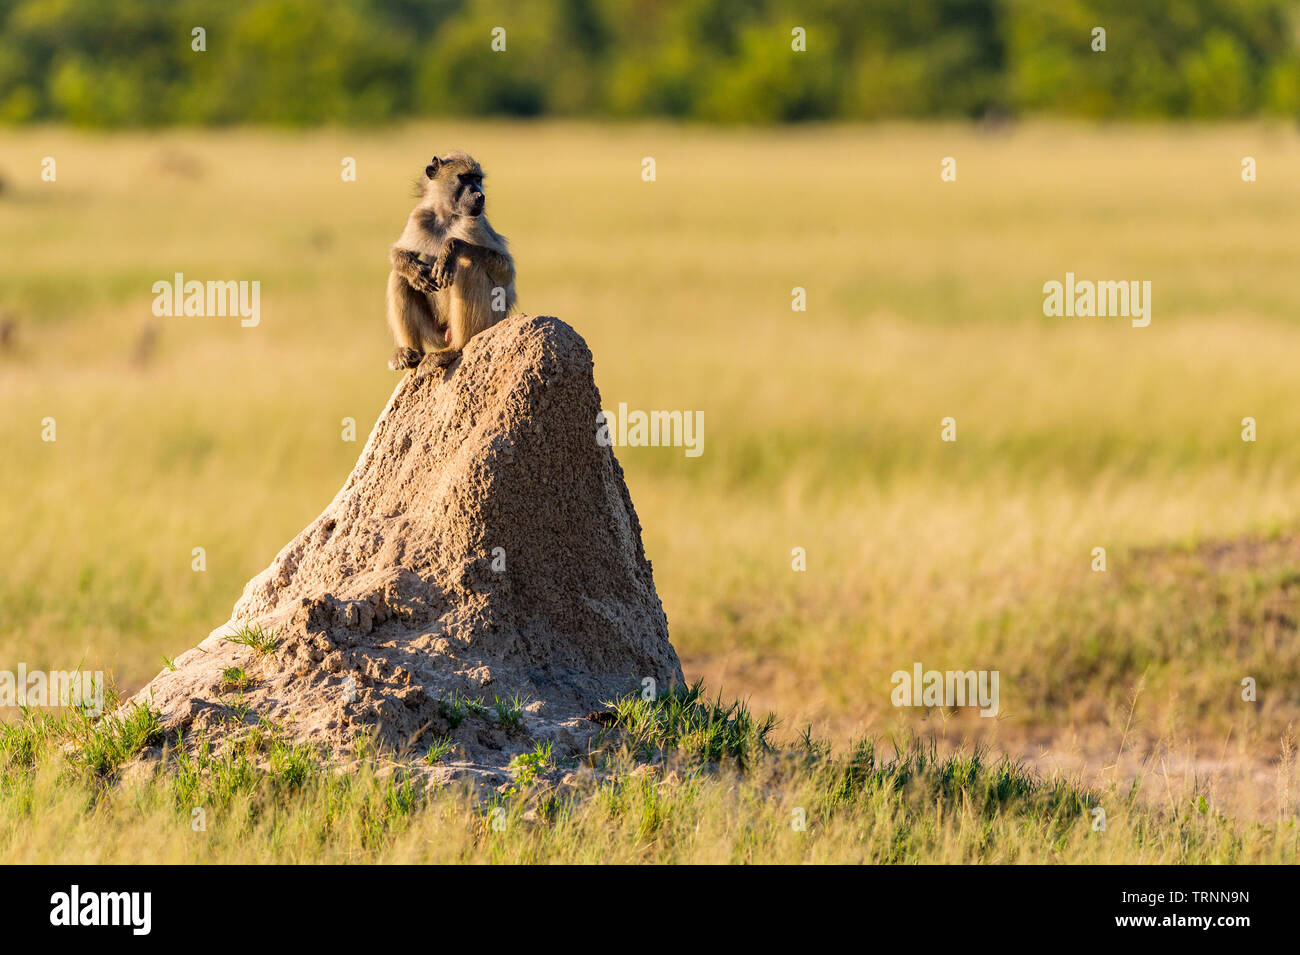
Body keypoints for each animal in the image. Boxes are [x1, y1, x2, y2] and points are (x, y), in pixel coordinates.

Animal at [386, 151, 517, 374]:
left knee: (468, 267)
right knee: (399, 276)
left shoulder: (475, 224)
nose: (480, 196)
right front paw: (413, 269)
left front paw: (451, 249)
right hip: (436, 333)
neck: (446, 215)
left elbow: (506, 272)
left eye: (478, 179)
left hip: (489, 324)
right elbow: (399, 252)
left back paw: (453, 350)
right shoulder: (419, 217)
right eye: (464, 178)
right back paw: (410, 353)